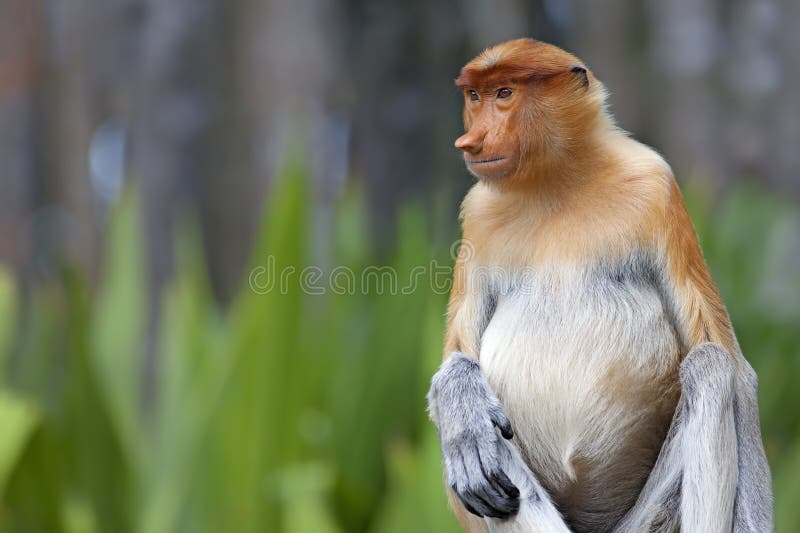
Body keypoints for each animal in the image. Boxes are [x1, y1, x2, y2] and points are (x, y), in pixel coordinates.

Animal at [426, 38, 773, 533]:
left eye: (505, 93)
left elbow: (733, 367)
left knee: (710, 367)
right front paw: (462, 411)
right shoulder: (477, 216)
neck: (557, 182)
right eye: (474, 97)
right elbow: (456, 359)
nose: (470, 141)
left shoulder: (657, 188)